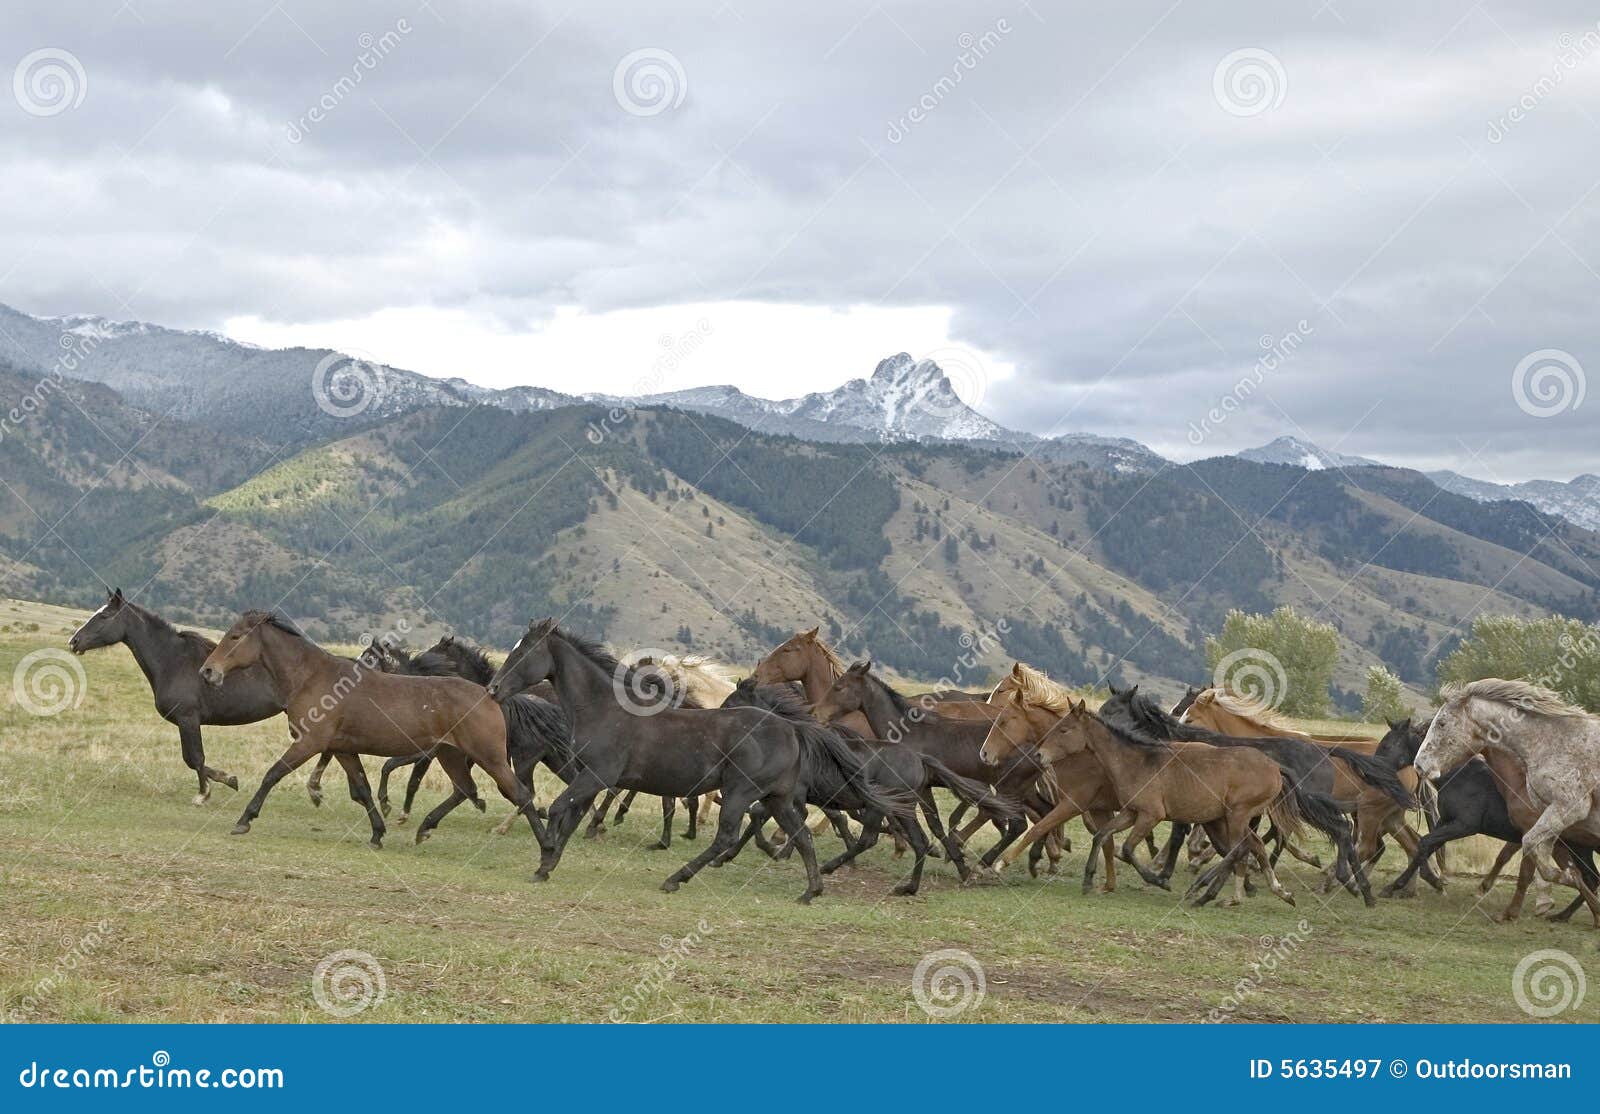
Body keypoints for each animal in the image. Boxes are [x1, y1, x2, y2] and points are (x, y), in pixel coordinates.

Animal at [198, 611, 542, 850]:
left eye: (235, 637)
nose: (207, 671)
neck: (311, 678)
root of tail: (489, 694)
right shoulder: (342, 749)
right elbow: (362, 788)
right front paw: (378, 832)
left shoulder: (310, 742)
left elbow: (273, 774)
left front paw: (245, 820)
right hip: (451, 755)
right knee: (466, 790)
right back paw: (425, 828)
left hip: (489, 758)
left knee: (520, 795)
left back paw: (545, 856)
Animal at [486, 619, 881, 903]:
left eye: (523, 653)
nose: (493, 689)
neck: (604, 709)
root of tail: (791, 727)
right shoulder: (589, 778)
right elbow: (572, 817)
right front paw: (548, 865)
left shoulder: (596, 776)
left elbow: (558, 809)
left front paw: (545, 854)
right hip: (777, 798)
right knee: (801, 836)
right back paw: (810, 890)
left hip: (740, 792)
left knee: (726, 837)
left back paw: (675, 879)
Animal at [1414, 678, 1600, 922]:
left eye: (1442, 723)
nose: (1419, 765)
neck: (1551, 743)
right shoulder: (1552, 819)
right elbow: (1537, 856)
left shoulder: (1568, 807)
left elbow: (1530, 850)